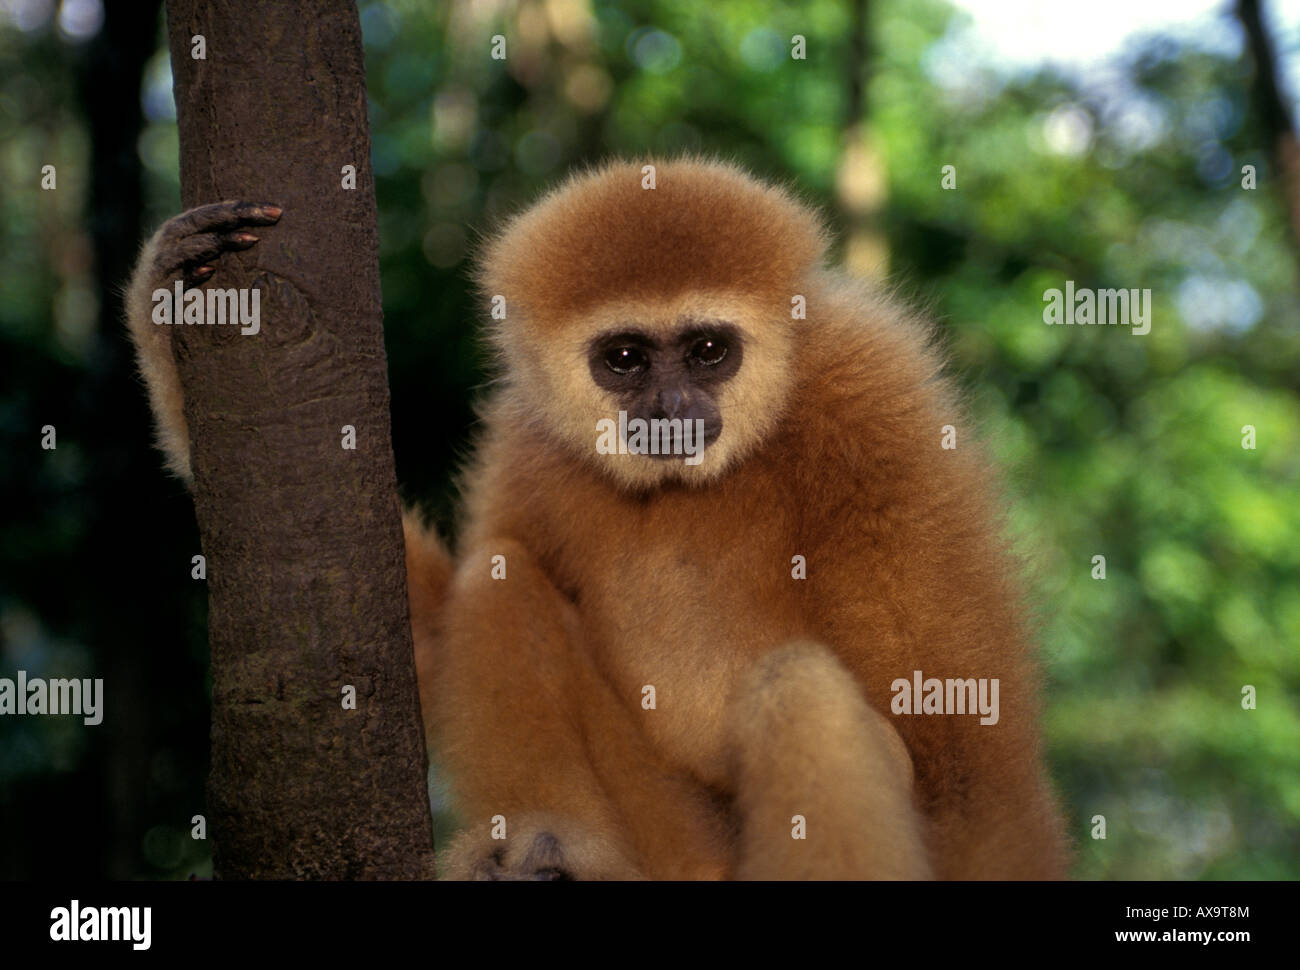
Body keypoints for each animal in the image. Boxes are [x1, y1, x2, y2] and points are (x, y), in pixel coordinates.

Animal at [125, 159, 1070, 881]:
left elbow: (967, 763)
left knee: (803, 692)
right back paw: (546, 853)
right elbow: (426, 637)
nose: (673, 405)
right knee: (501, 576)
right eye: (624, 358)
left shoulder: (878, 402)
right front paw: (168, 306)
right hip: (669, 847)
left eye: (709, 350)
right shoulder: (527, 437)